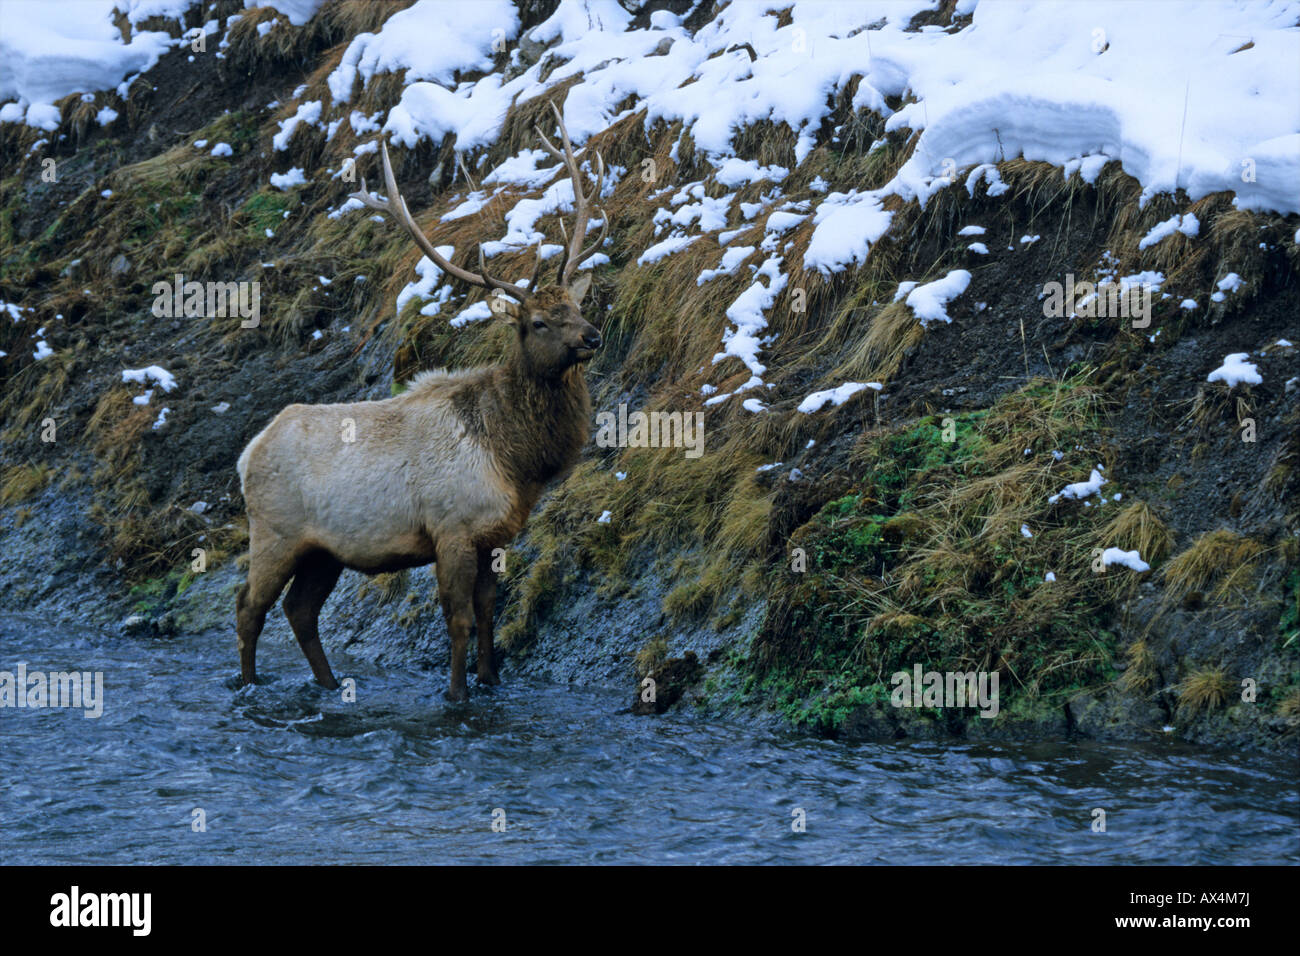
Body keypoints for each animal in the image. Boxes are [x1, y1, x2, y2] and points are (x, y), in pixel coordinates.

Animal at [234, 102, 607, 702]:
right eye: (538, 322)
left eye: (574, 305)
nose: (593, 336)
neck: (515, 458)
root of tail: (248, 453)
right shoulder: (450, 528)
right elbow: (457, 618)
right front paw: (456, 694)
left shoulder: (494, 535)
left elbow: (488, 613)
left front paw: (490, 679)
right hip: (275, 530)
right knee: (250, 606)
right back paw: (248, 685)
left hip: (323, 550)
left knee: (299, 611)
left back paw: (329, 684)